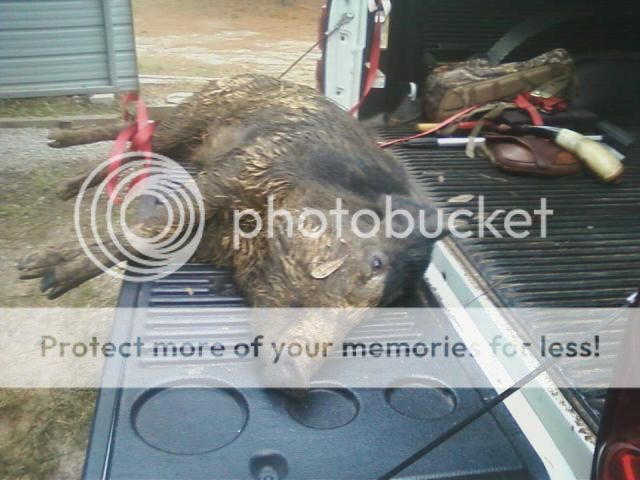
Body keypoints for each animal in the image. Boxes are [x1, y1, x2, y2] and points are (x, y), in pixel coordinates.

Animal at [18, 74, 447, 388]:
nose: (296, 379)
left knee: (139, 147)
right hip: (197, 112)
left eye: (381, 309)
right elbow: (162, 221)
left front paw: (44, 275)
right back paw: (58, 147)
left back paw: (67, 186)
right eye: (376, 264)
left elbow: (157, 233)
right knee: (143, 132)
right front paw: (40, 276)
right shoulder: (246, 166)